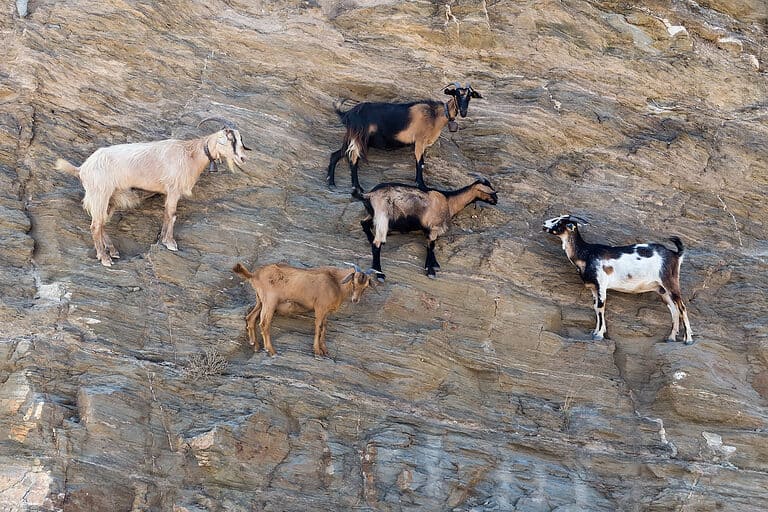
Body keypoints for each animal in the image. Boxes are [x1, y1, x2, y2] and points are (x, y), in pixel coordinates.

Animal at [54, 117, 251, 267]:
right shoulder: (173, 189)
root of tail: (82, 168)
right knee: (95, 226)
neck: (190, 154)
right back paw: (105, 259)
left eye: (240, 140)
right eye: (230, 139)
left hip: (110, 197)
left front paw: (162, 239)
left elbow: (166, 214)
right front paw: (170, 243)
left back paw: (113, 251)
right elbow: (172, 214)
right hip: (100, 193)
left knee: (101, 222)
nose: (243, 158)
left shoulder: (169, 191)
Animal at [232, 262, 380, 357]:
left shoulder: (326, 312)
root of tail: (254, 275)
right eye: (353, 282)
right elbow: (318, 327)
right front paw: (317, 351)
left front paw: (325, 350)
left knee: (250, 318)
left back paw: (255, 345)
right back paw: (271, 350)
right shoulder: (320, 308)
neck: (335, 282)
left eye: (366, 286)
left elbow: (324, 328)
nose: (355, 300)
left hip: (260, 301)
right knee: (264, 323)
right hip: (270, 301)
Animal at [326, 82, 483, 192]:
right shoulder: (419, 141)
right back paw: (357, 188)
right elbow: (420, 163)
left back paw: (331, 183)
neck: (434, 115)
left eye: (469, 96)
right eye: (456, 94)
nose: (463, 112)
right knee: (353, 159)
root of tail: (348, 114)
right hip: (358, 138)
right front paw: (422, 186)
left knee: (336, 155)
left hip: (351, 138)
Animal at [354, 173, 498, 280]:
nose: (496, 201)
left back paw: (370, 239)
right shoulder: (434, 227)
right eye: (490, 192)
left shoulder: (430, 230)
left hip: (374, 215)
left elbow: (431, 245)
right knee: (377, 244)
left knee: (364, 223)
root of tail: (370, 195)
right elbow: (431, 246)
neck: (449, 200)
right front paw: (431, 271)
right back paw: (380, 274)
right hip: (382, 217)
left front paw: (434, 265)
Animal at [543, 215, 693, 344]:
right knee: (674, 310)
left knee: (682, 307)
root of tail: (676, 255)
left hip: (670, 282)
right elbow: (595, 308)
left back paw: (688, 339)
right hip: (662, 290)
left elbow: (601, 307)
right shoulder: (594, 288)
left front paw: (599, 335)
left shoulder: (601, 284)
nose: (544, 224)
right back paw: (671, 338)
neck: (586, 253)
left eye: (559, 221)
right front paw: (596, 332)